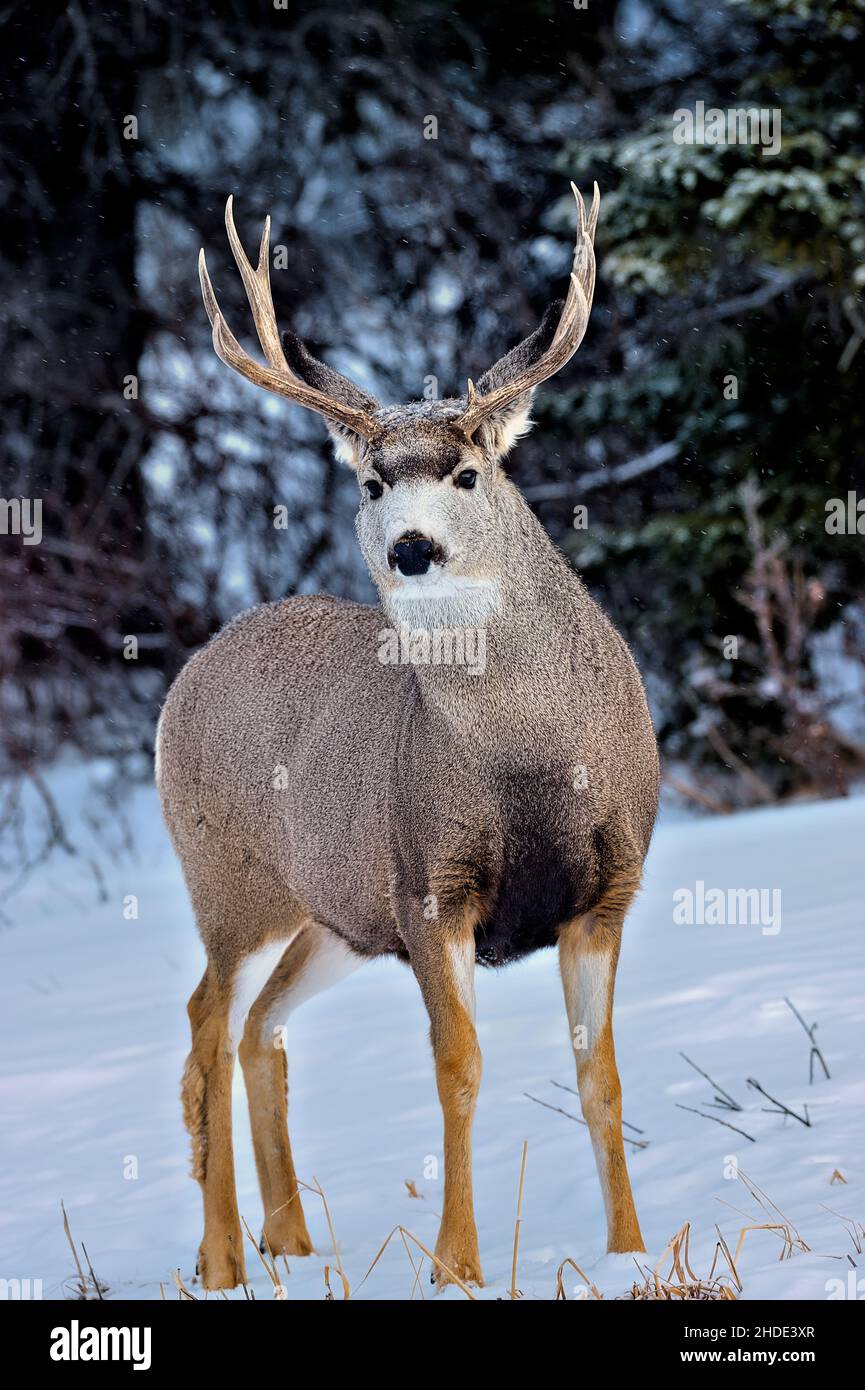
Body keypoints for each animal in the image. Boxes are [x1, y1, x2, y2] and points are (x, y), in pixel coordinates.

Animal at [155, 182, 659, 1292]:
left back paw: (290, 1239)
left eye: (468, 473)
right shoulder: (432, 885)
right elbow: (458, 1065)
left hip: (333, 910)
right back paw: (221, 1257)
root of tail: (186, 674)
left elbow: (598, 1075)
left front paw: (631, 1253)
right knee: (206, 1020)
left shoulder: (606, 892)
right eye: (373, 483)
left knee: (259, 1028)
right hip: (229, 879)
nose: (413, 548)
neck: (526, 763)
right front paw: (457, 1263)